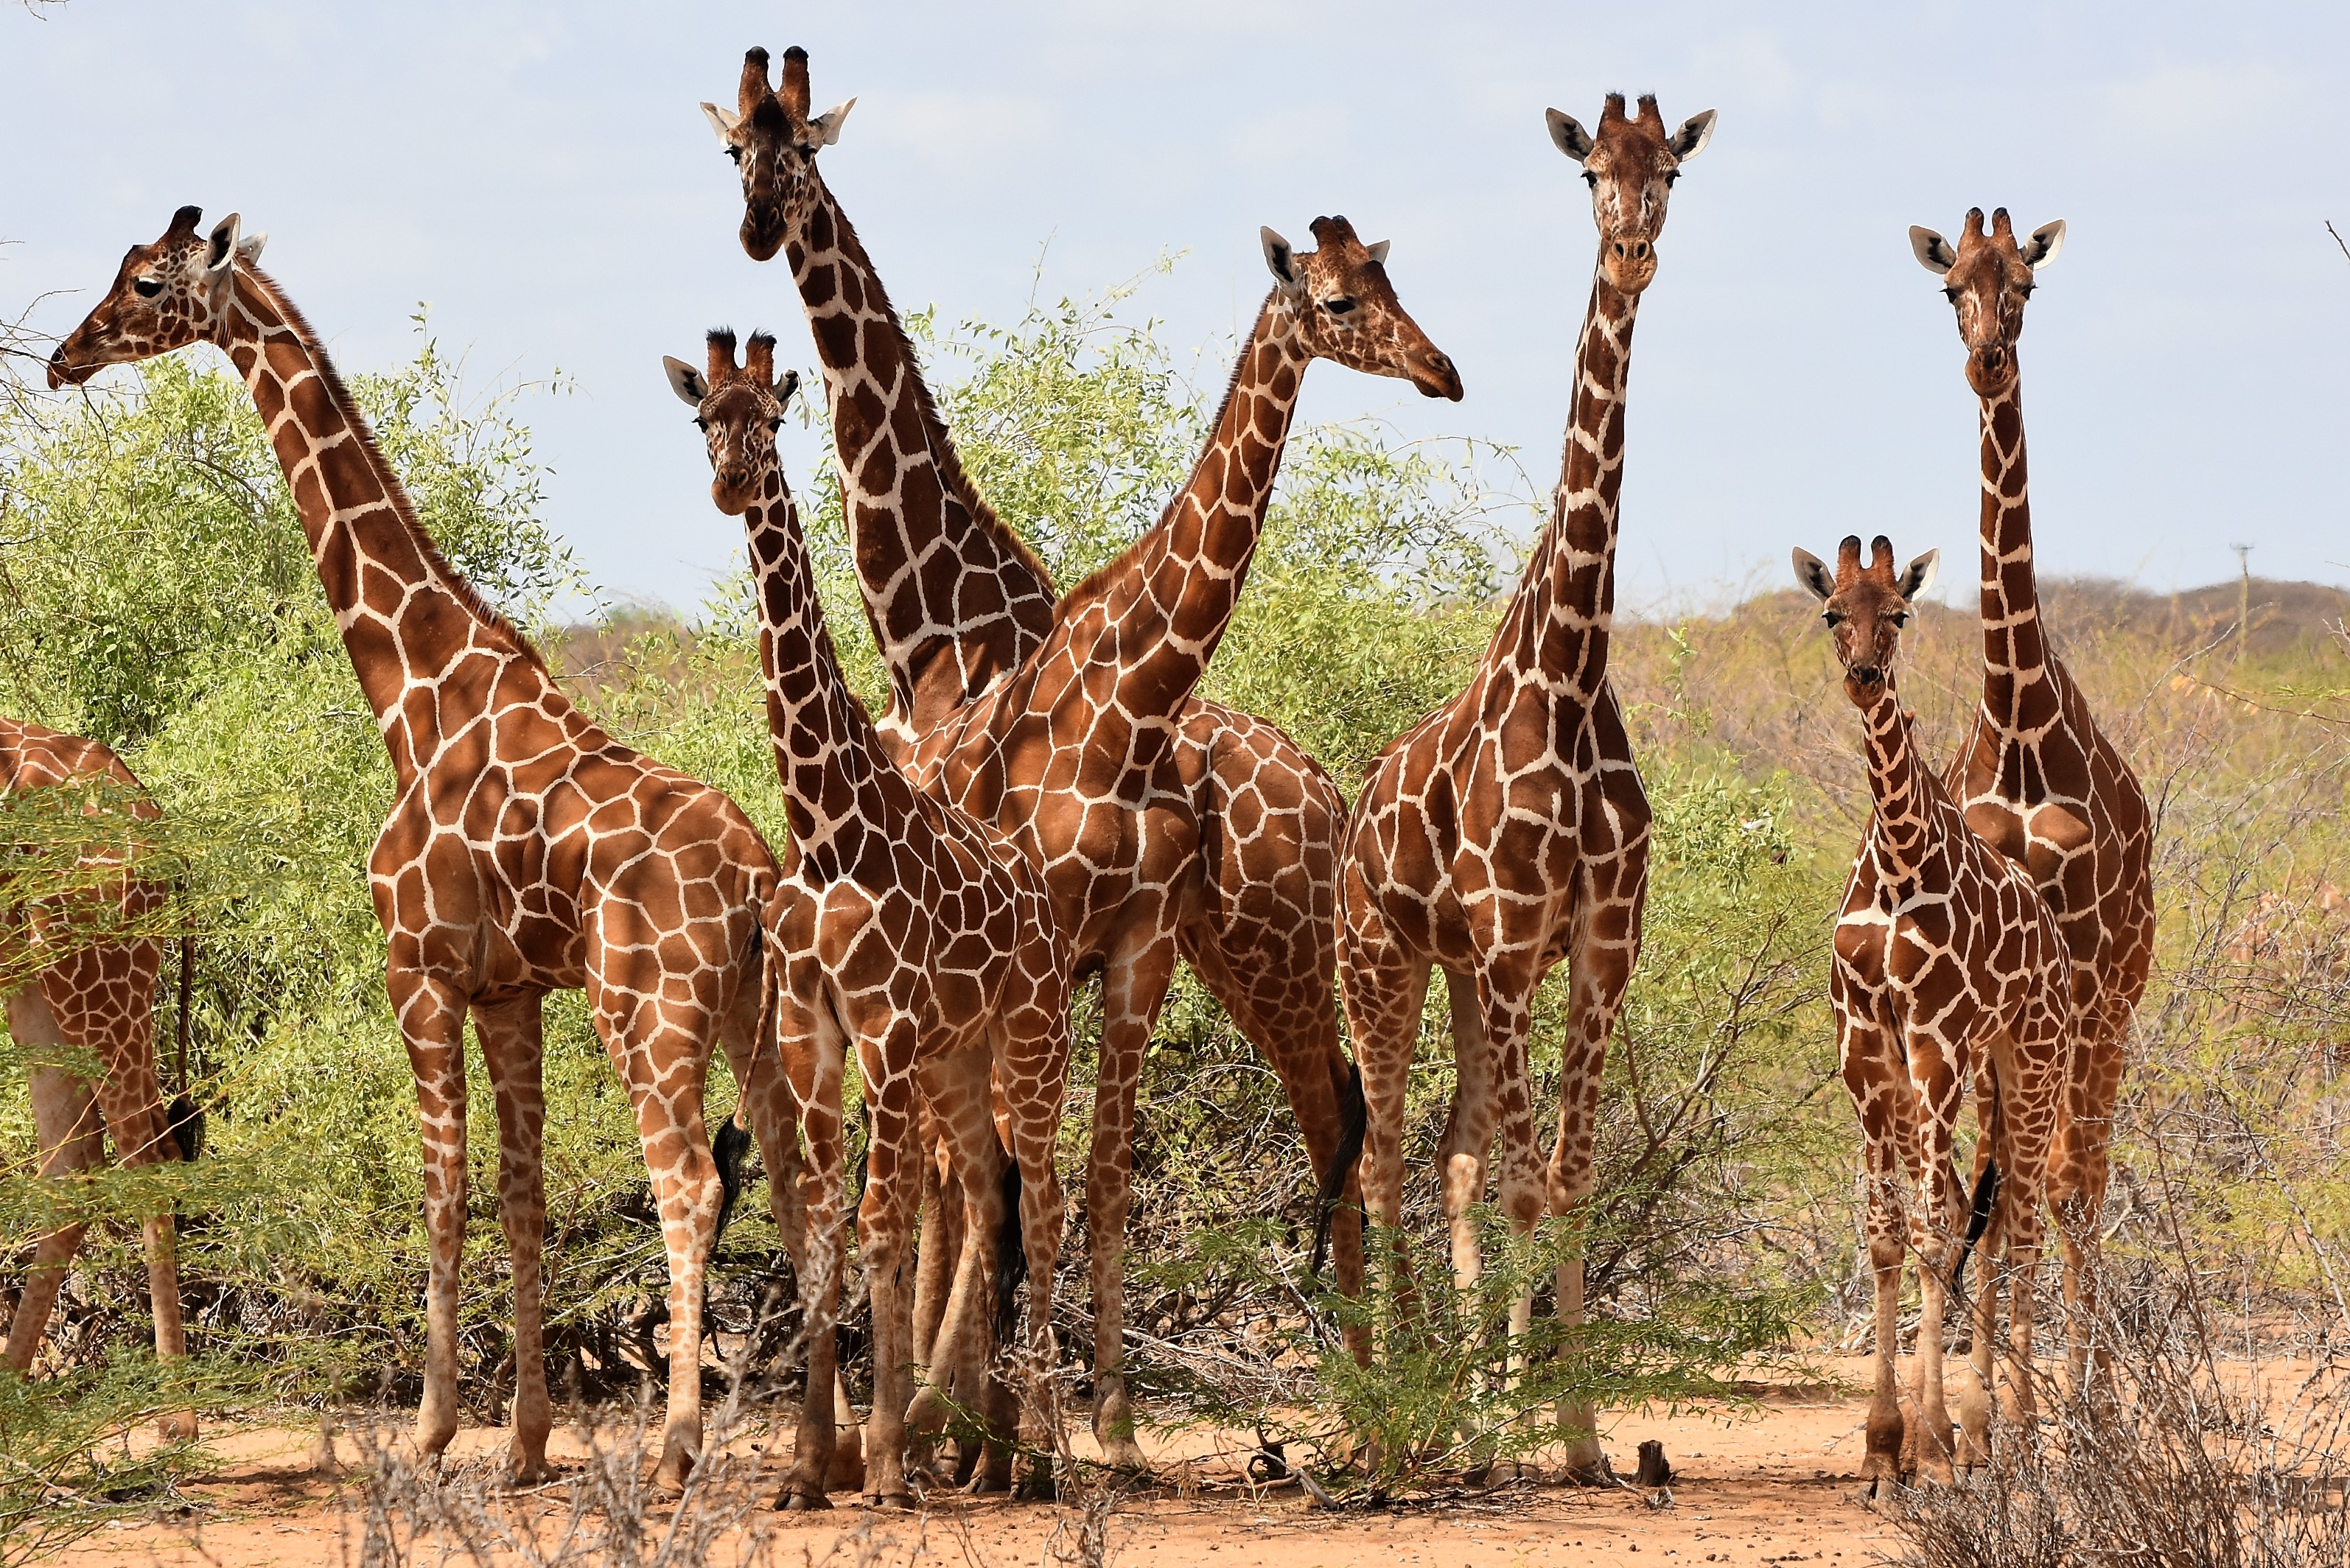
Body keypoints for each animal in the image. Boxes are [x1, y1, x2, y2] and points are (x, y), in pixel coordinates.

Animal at [49, 208, 806, 1490]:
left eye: (146, 283)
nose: (65, 356)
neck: (417, 696)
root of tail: (755, 876)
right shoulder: (510, 990)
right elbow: (522, 1195)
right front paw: (527, 1445)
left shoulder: (420, 971)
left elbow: (442, 1188)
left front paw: (434, 1429)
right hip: (753, 1010)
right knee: (802, 1177)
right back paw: (830, 1454)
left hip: (650, 1014)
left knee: (693, 1183)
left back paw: (677, 1448)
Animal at [663, 333, 1071, 1509]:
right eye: (701, 416)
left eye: (771, 421)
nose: (730, 483)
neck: (825, 823)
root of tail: (1040, 898)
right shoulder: (816, 1029)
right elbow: (825, 1230)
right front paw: (808, 1467)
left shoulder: (883, 1027)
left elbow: (884, 1226)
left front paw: (884, 1463)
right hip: (960, 1060)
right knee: (989, 1194)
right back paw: (1003, 1451)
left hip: (1032, 1042)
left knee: (1048, 1202)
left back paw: (1053, 1458)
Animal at [700, 43, 1461, 1468]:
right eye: (736, 149)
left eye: (804, 150)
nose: (761, 227)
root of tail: (1327, 789)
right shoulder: (1048, 952)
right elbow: (999, 1174)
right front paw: (990, 1423)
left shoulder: (1102, 948)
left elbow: (1059, 1174)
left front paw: (1034, 1424)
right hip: (1236, 956)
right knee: (1317, 1117)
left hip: (1265, 952)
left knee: (1332, 1116)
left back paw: (1378, 1403)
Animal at [1336, 92, 1710, 1483]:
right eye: (1588, 169)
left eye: (1671, 171)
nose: (1632, 252)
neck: (1568, 665)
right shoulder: (1506, 942)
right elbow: (1520, 1182)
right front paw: (1513, 1427)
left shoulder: (1596, 944)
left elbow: (1567, 1172)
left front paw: (1580, 1432)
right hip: (1383, 958)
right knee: (1385, 1158)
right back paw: (1394, 1407)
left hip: (1454, 969)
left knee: (1448, 1152)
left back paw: (1451, 1397)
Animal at [1793, 534, 2071, 1493]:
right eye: (1832, 611)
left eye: (1902, 612)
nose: (1865, 676)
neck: (1900, 855)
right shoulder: (1864, 1044)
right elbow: (1888, 1233)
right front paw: (1886, 1447)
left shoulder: (1933, 1037)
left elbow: (1930, 1228)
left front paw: (1930, 1450)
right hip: (1985, 1071)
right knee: (1982, 1213)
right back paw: (1977, 1434)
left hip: (2032, 1056)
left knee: (2019, 1221)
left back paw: (2009, 1431)